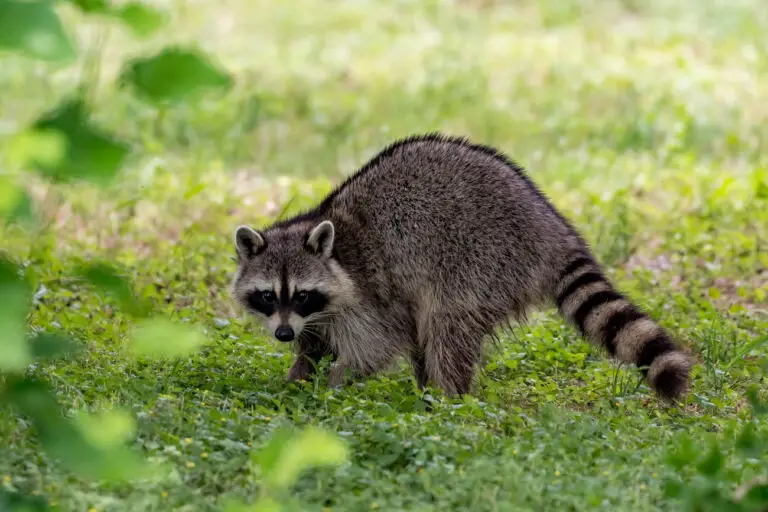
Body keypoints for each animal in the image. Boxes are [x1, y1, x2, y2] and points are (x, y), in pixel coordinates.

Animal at [231, 134, 692, 400]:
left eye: (302, 294)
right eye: (268, 295)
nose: (282, 334)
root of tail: (552, 229)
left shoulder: (370, 294)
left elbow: (376, 345)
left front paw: (333, 385)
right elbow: (317, 344)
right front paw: (298, 378)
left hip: (482, 260)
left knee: (445, 326)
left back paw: (447, 397)